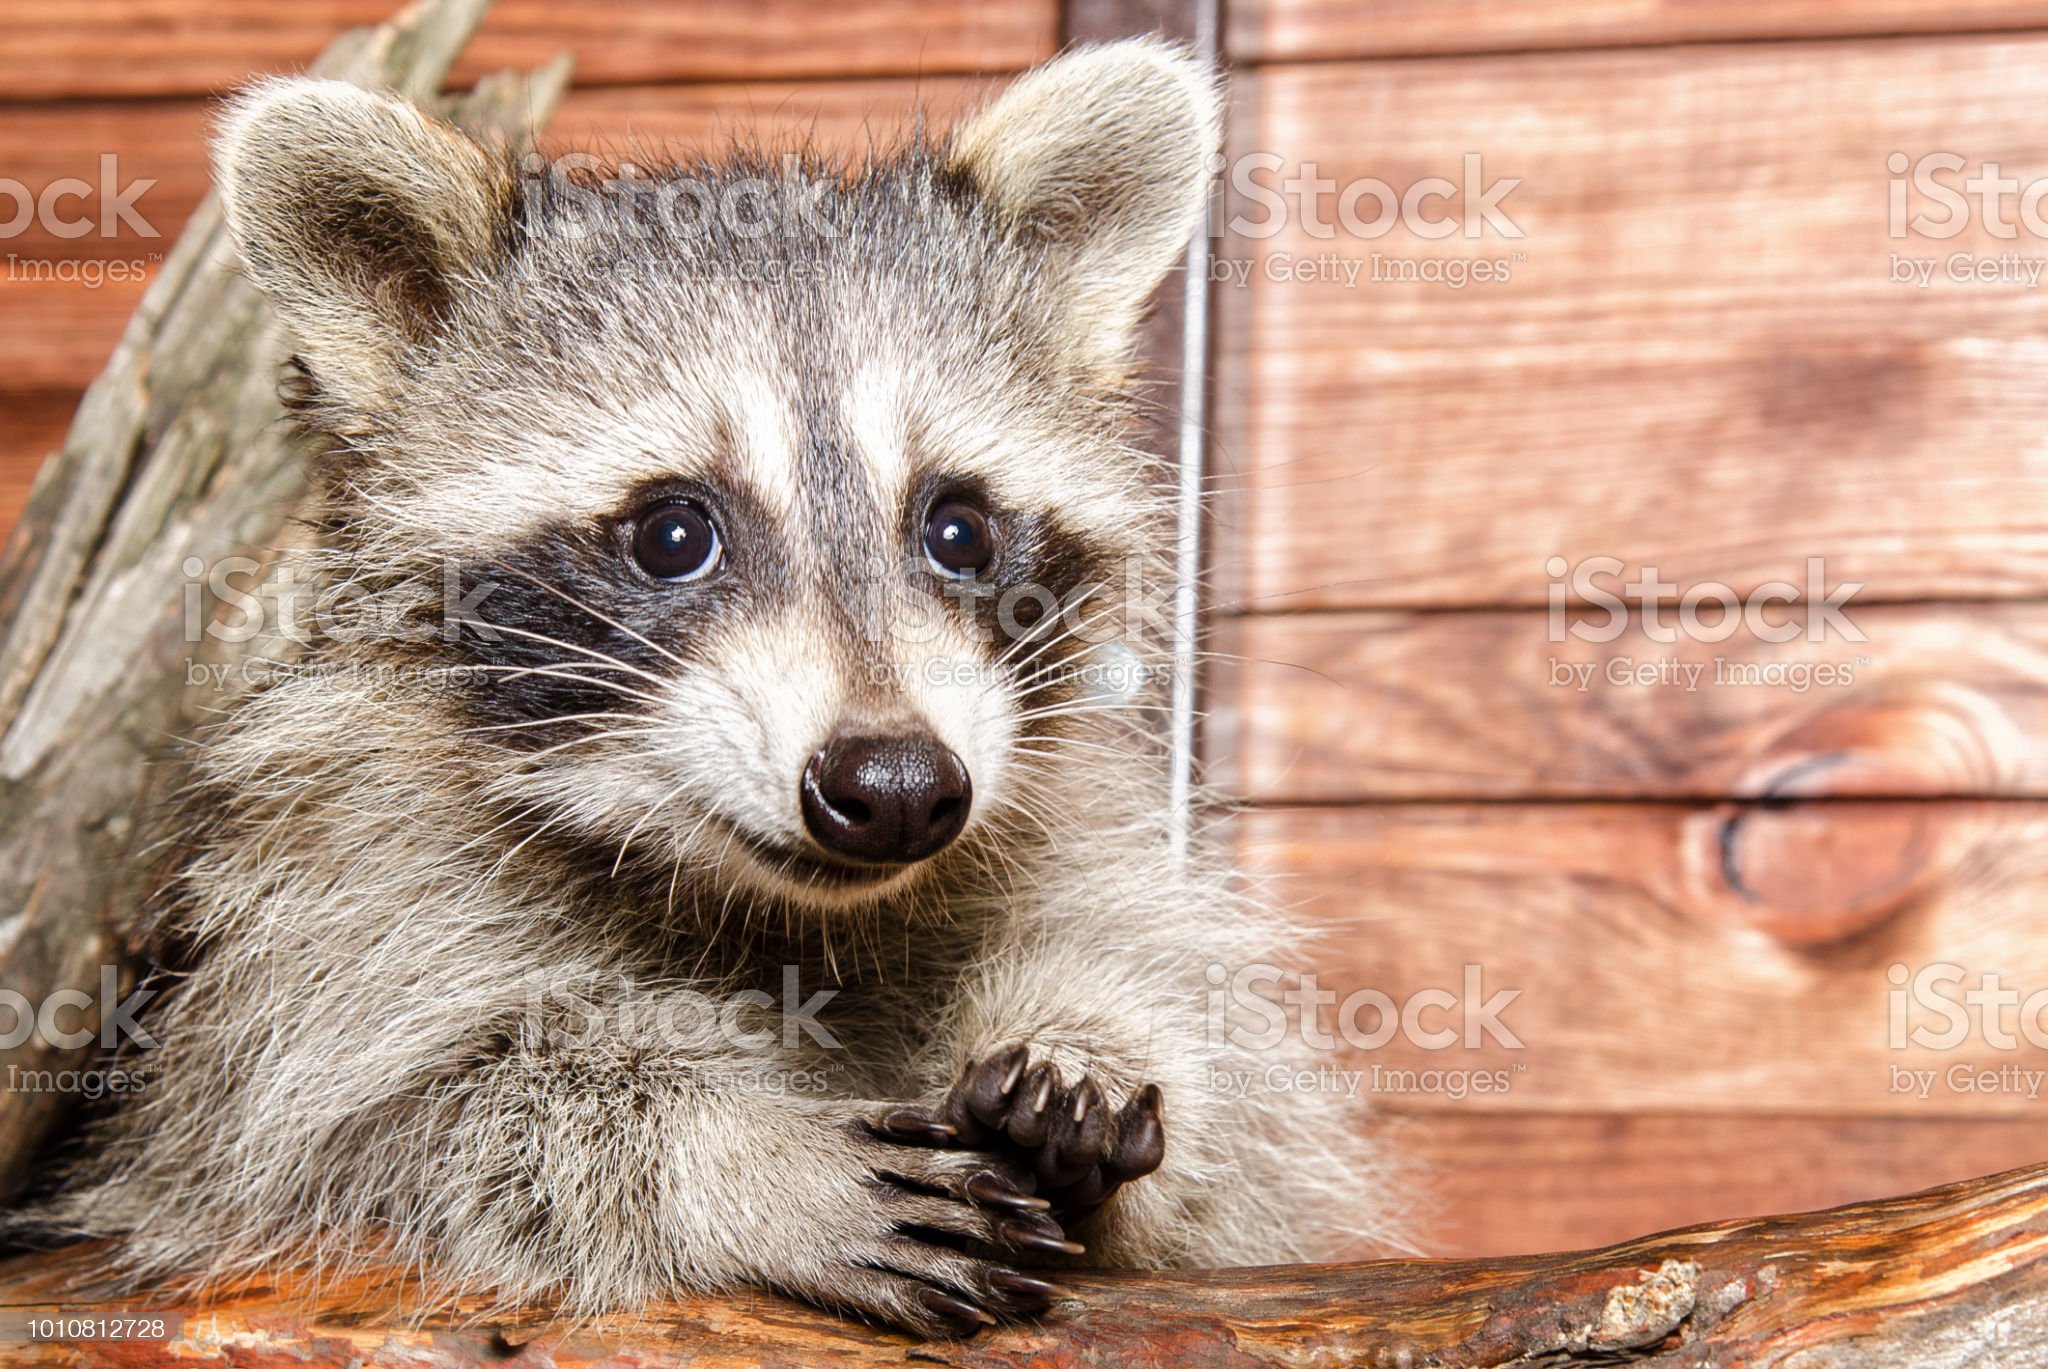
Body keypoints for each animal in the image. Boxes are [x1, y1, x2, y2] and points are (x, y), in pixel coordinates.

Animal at [38, 39, 1394, 1337]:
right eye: (671, 533)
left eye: (956, 529)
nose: (896, 786)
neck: (781, 910)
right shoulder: (305, 948)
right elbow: (379, 1134)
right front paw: (737, 1160)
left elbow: (1228, 1160)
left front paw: (1093, 1039)